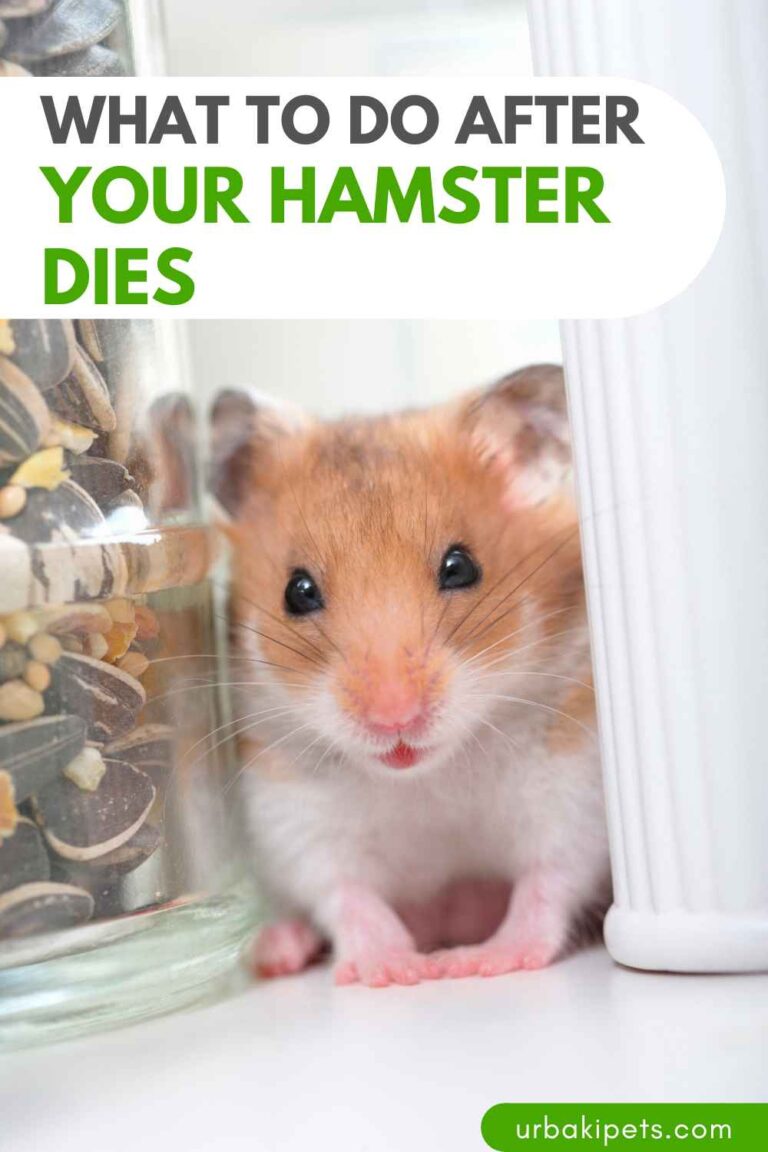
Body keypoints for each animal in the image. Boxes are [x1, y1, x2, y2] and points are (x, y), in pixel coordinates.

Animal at [210, 365, 609, 987]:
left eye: (460, 566)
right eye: (297, 591)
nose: (394, 719)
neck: (427, 777)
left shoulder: (573, 781)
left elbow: (547, 879)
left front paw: (480, 963)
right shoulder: (292, 810)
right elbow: (345, 892)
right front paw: (395, 971)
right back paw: (277, 949)